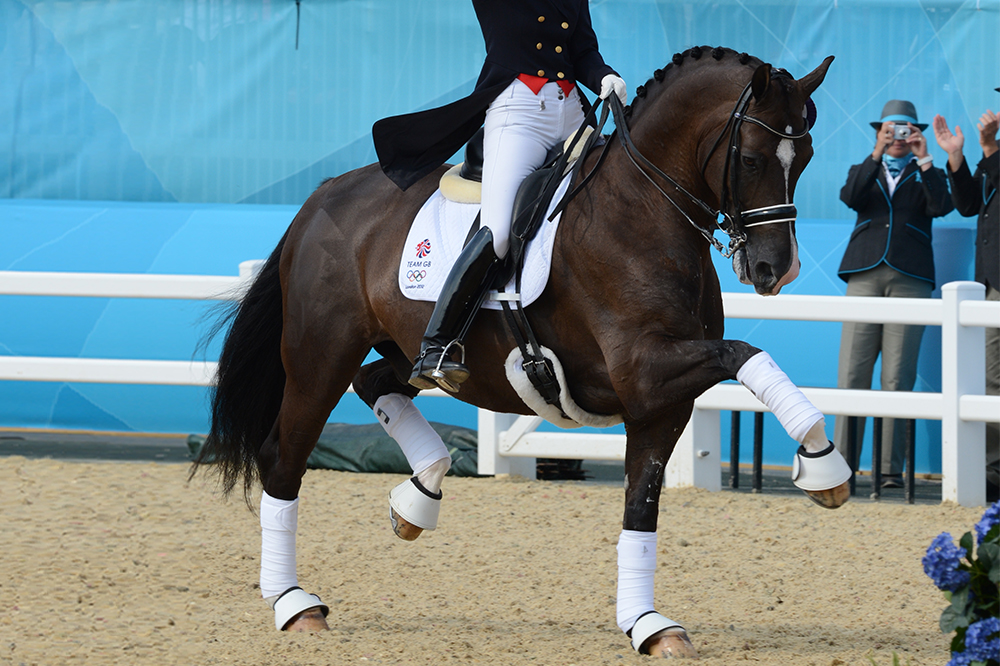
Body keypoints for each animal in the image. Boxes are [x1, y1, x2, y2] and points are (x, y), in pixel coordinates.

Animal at [192, 46, 851, 658]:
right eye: (752, 158)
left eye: (805, 159)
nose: (776, 270)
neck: (642, 211)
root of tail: (323, 197)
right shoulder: (642, 371)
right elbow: (745, 352)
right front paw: (823, 464)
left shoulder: (660, 403)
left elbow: (640, 509)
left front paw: (647, 625)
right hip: (319, 358)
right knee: (284, 460)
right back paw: (293, 603)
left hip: (417, 356)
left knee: (379, 383)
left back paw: (418, 496)